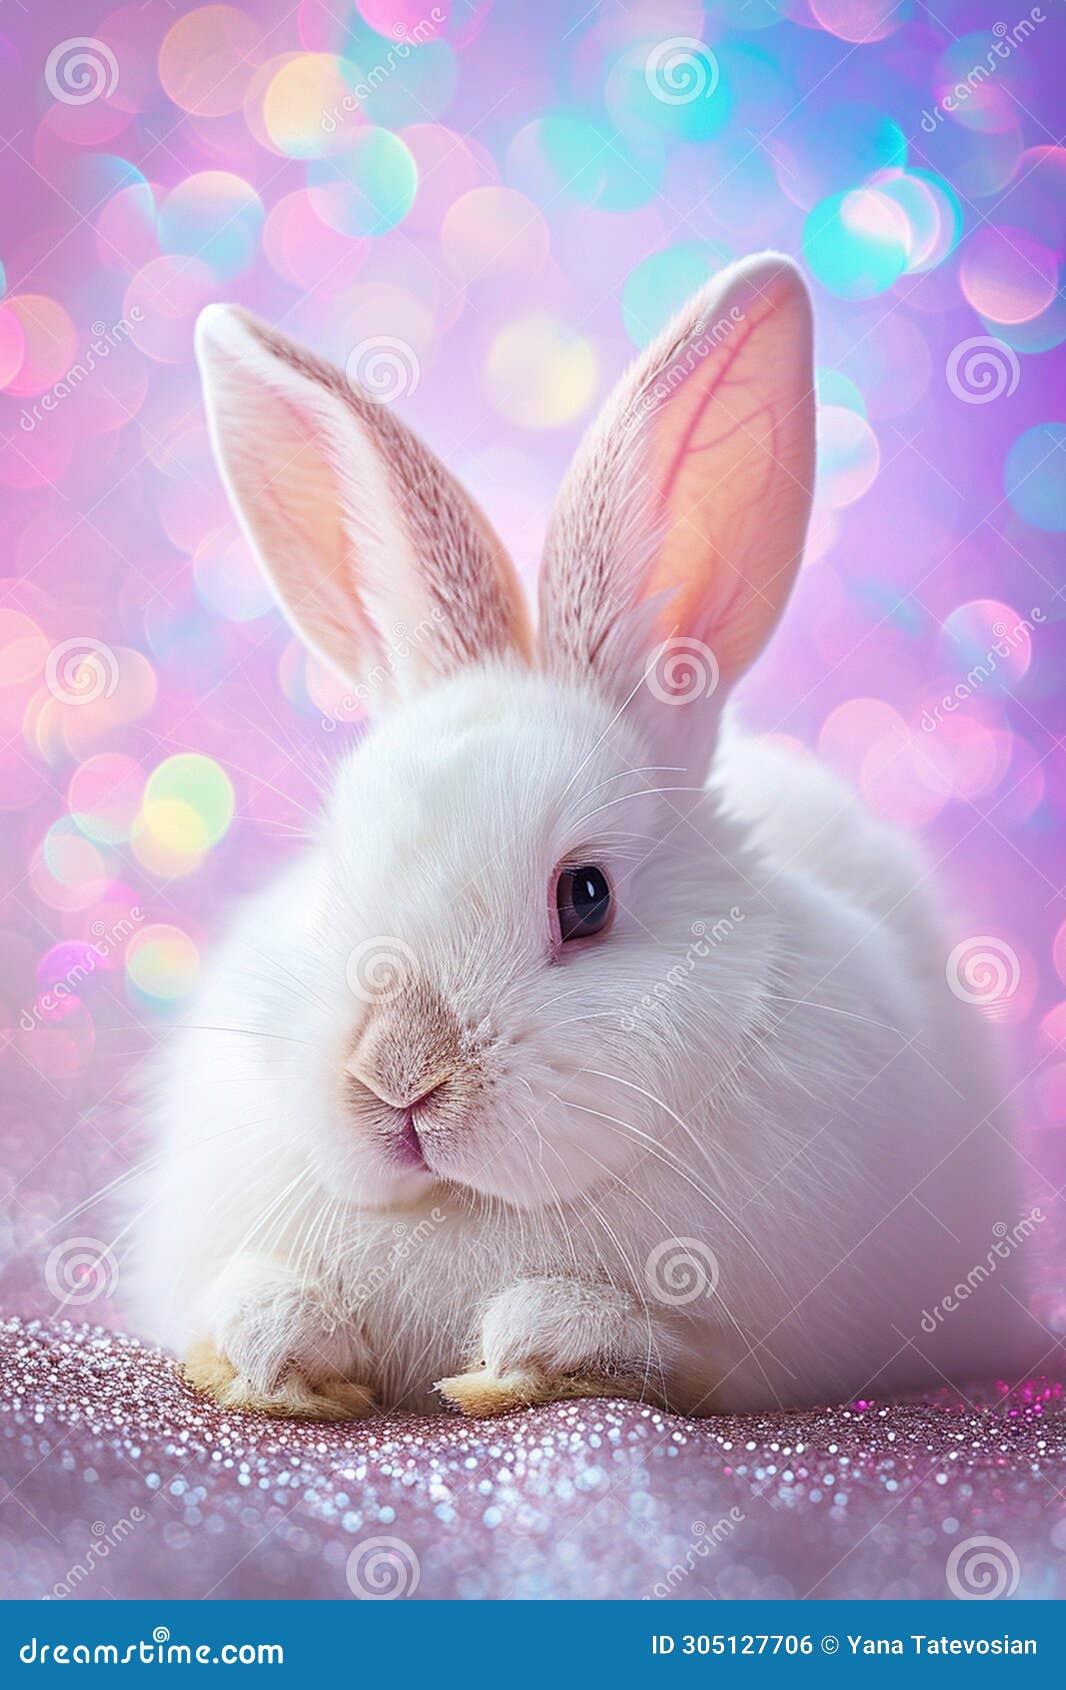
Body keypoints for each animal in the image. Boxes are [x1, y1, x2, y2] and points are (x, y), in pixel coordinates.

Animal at [125, 254, 1041, 1421]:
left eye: (587, 897)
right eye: (335, 875)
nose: (398, 1080)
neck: (465, 1209)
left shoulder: (780, 1343)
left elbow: (645, 1340)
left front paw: (526, 1352)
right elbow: (252, 1297)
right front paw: (280, 1358)